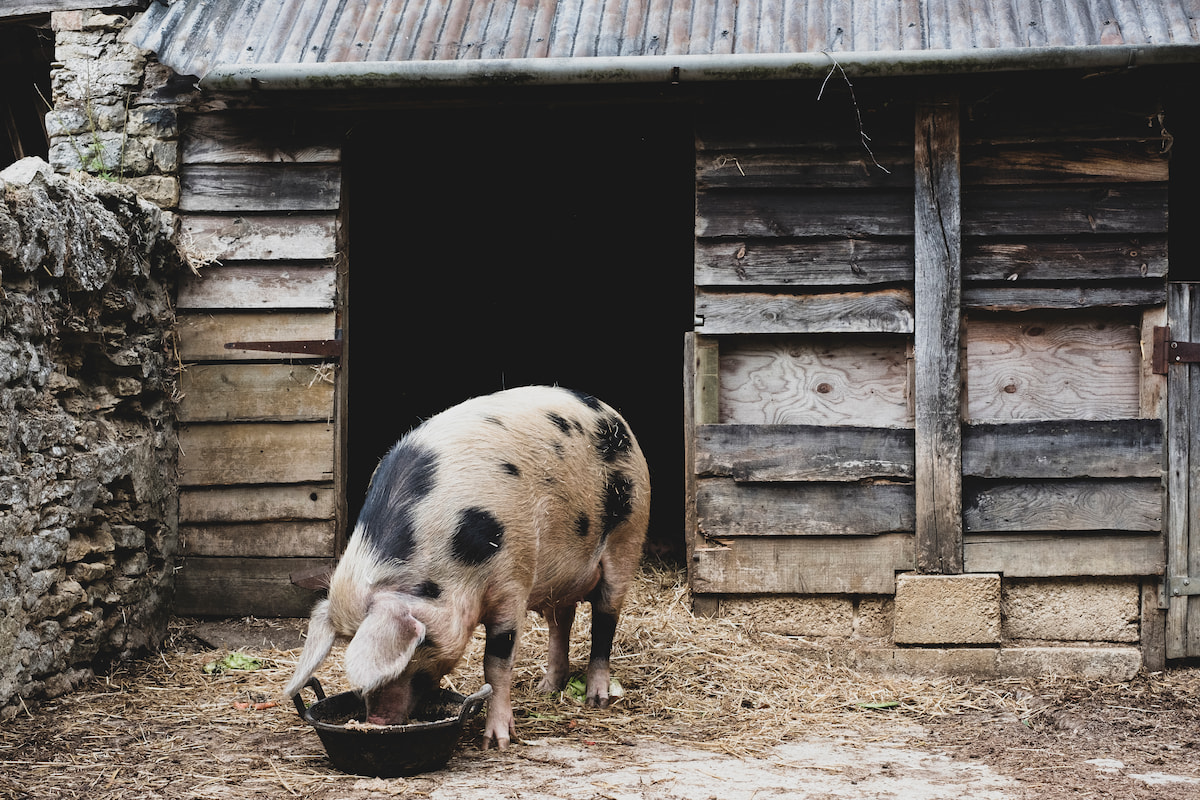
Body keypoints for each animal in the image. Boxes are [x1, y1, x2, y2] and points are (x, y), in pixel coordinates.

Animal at [284, 386, 650, 750]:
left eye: (419, 644)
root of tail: (610, 413)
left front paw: (497, 743)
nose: (377, 720)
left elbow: (496, 664)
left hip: (627, 537)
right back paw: (546, 687)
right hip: (558, 577)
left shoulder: (512, 581)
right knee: (561, 620)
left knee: (604, 622)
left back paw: (596, 699)